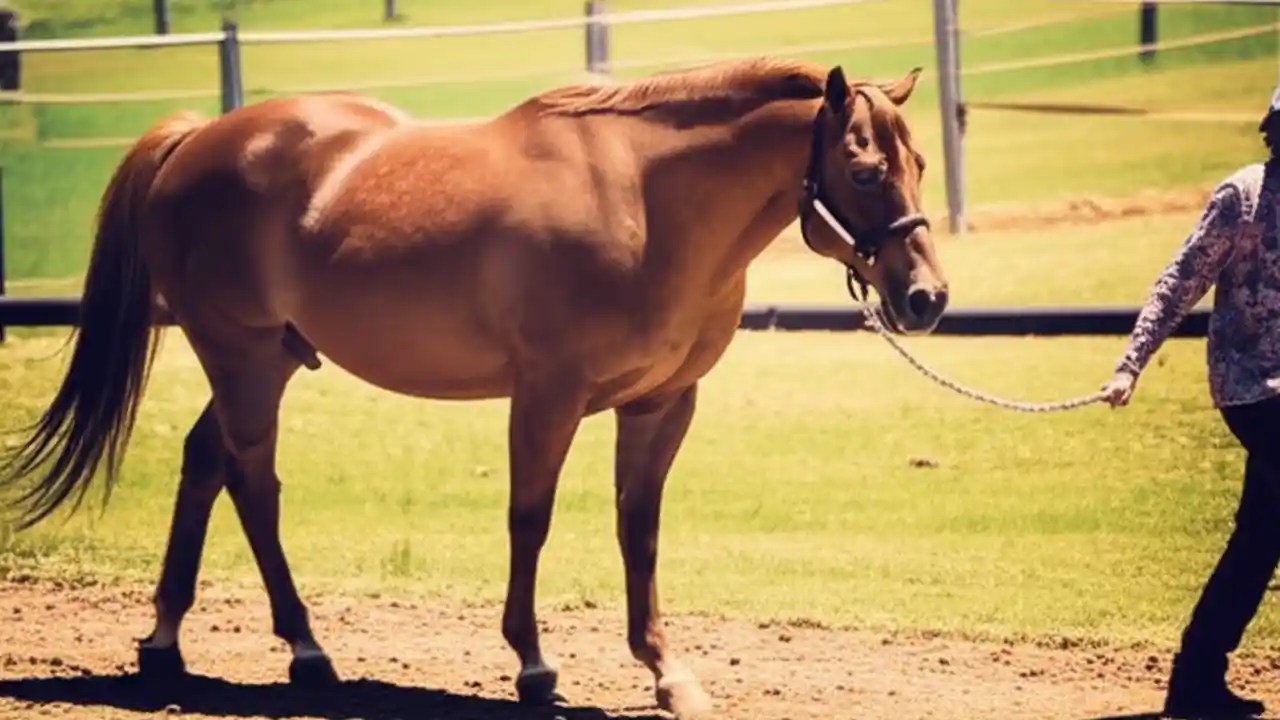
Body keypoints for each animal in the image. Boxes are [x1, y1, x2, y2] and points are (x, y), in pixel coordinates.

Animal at [0, 56, 948, 719]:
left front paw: (669, 674)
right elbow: (530, 520)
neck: (646, 200)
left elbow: (638, 533)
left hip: (272, 357)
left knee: (205, 464)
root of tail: (197, 138)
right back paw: (305, 650)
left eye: (922, 164)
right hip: (239, 355)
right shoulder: (547, 396)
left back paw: (165, 642)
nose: (926, 298)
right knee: (253, 483)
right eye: (865, 171)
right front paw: (533, 665)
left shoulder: (662, 404)